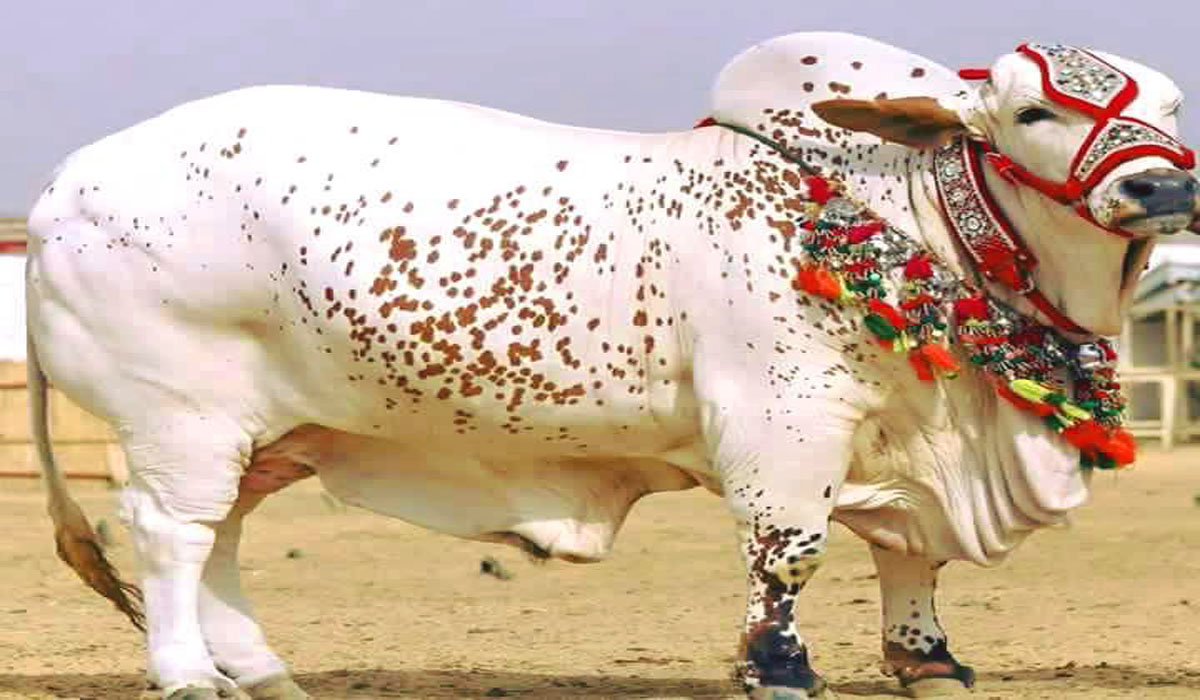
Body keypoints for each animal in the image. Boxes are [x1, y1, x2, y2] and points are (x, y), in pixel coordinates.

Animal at [26, 32, 1197, 699]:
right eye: (1033, 110)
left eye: (1171, 105)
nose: (1161, 189)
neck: (894, 216)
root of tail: (63, 184)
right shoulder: (785, 425)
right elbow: (790, 555)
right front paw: (780, 671)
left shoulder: (901, 439)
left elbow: (909, 553)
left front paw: (928, 660)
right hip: (179, 416)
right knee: (171, 534)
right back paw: (187, 676)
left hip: (266, 431)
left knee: (219, 537)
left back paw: (262, 673)